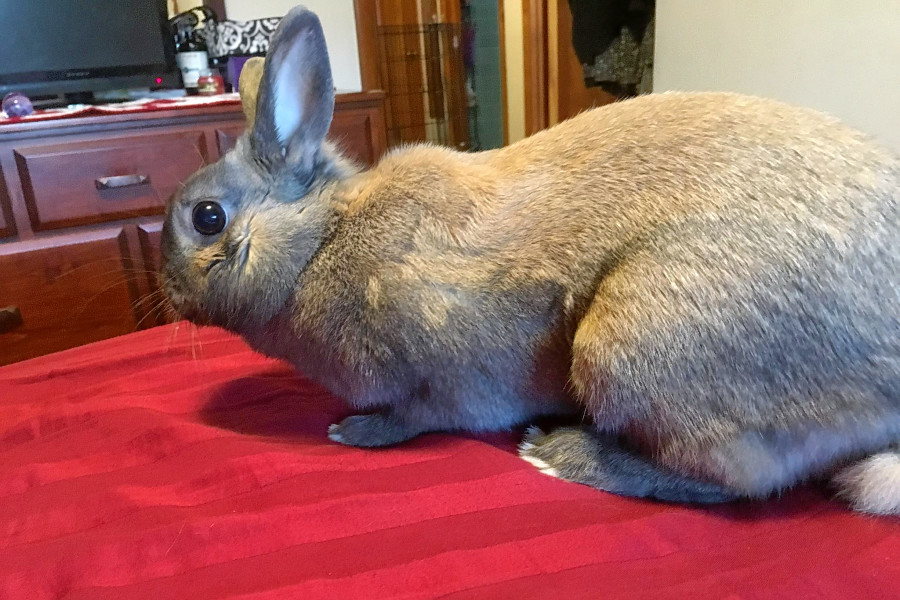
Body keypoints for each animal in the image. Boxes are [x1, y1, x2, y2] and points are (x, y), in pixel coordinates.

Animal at [160, 6, 900, 514]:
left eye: (207, 217)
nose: (166, 289)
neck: (319, 240)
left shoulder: (442, 372)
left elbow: (418, 416)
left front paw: (355, 431)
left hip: (630, 345)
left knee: (739, 481)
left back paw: (559, 454)